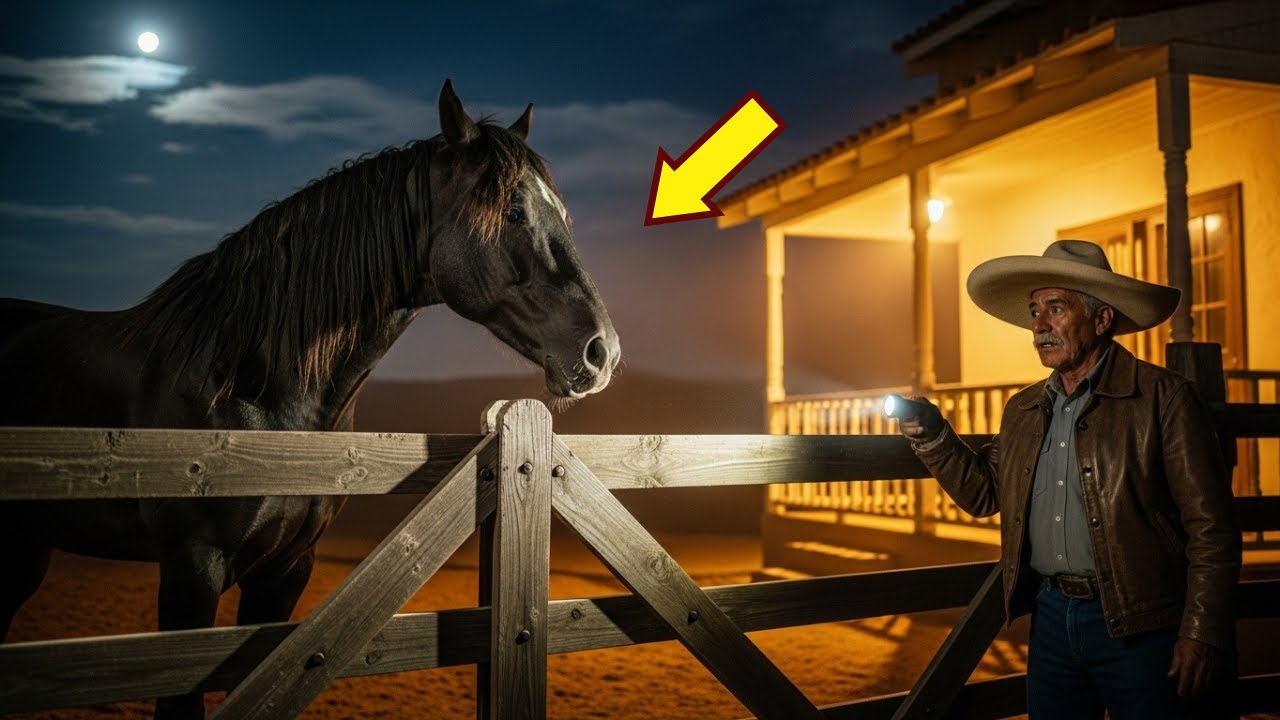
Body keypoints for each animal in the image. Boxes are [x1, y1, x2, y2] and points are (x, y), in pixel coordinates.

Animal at [0, 79, 620, 718]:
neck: (251, 385)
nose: (602, 352)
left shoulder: (286, 571)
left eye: (562, 213)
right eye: (514, 211)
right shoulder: (190, 572)